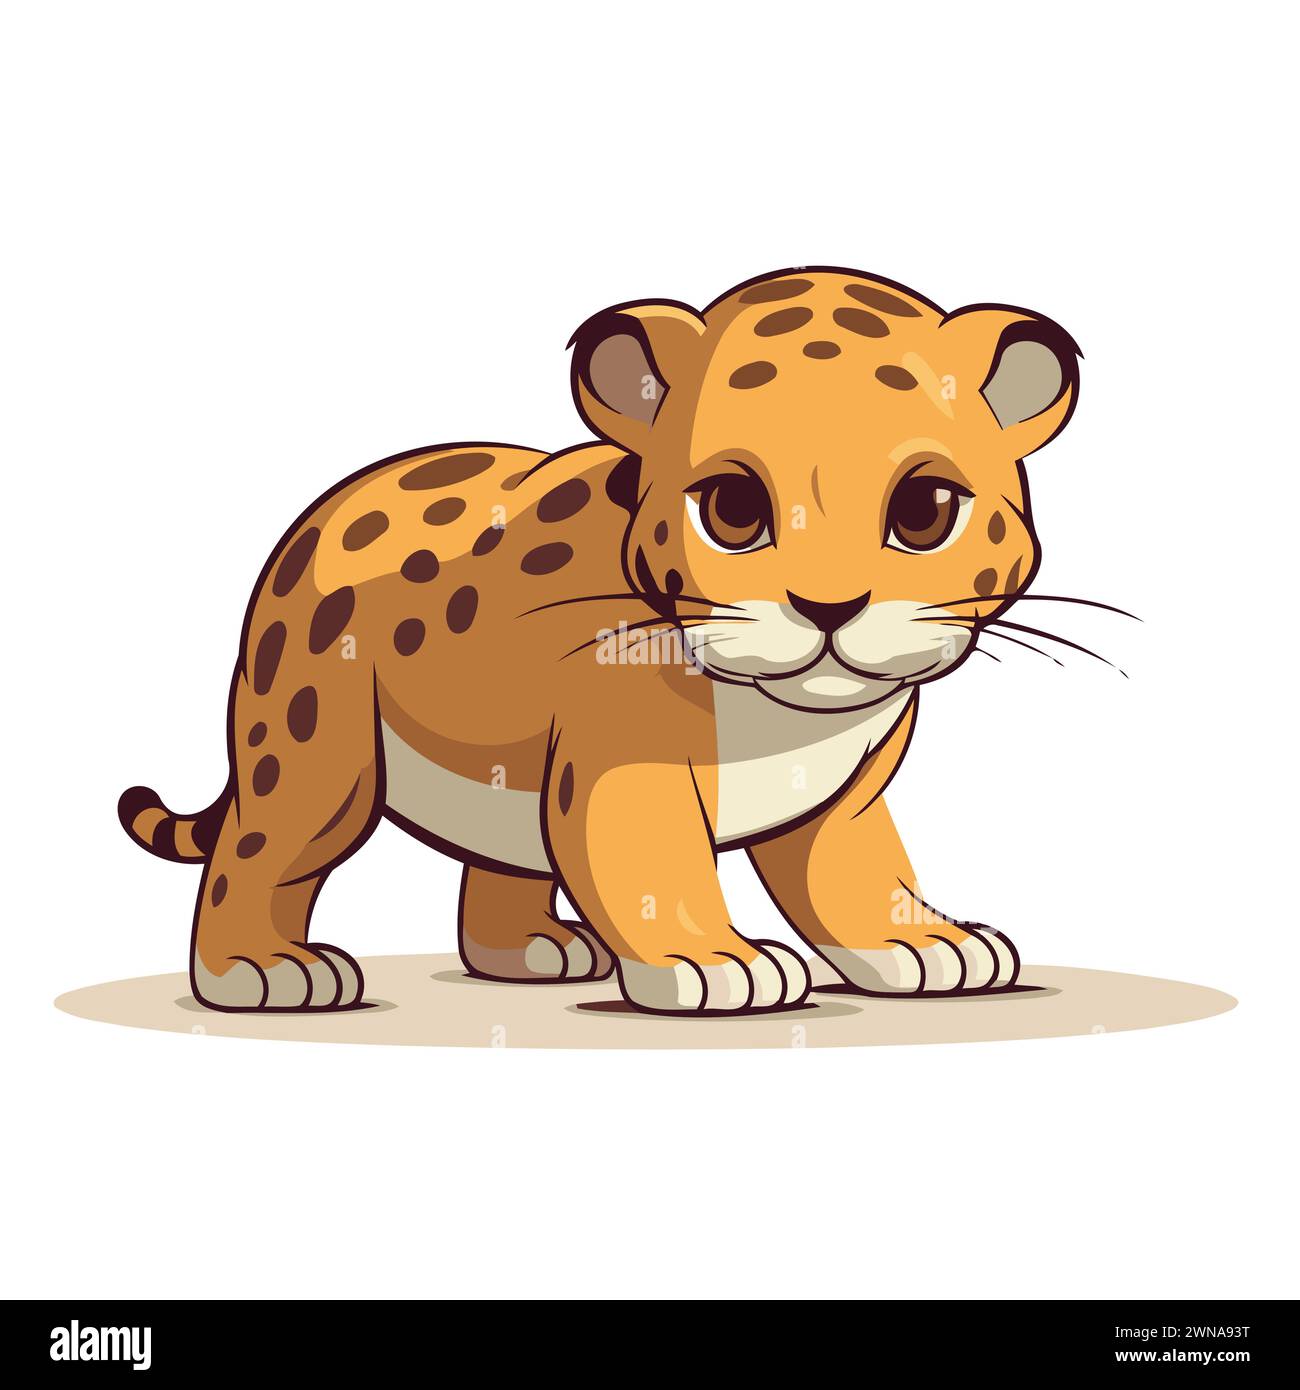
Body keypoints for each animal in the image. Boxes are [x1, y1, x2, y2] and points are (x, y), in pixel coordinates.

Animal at [119, 266, 1080, 1015]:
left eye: (925, 511)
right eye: (733, 509)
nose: (829, 606)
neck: (784, 716)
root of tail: (325, 510)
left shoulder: (841, 793)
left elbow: (853, 871)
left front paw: (922, 945)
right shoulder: (627, 769)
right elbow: (655, 868)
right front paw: (712, 961)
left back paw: (535, 953)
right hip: (319, 755)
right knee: (260, 849)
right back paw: (260, 969)